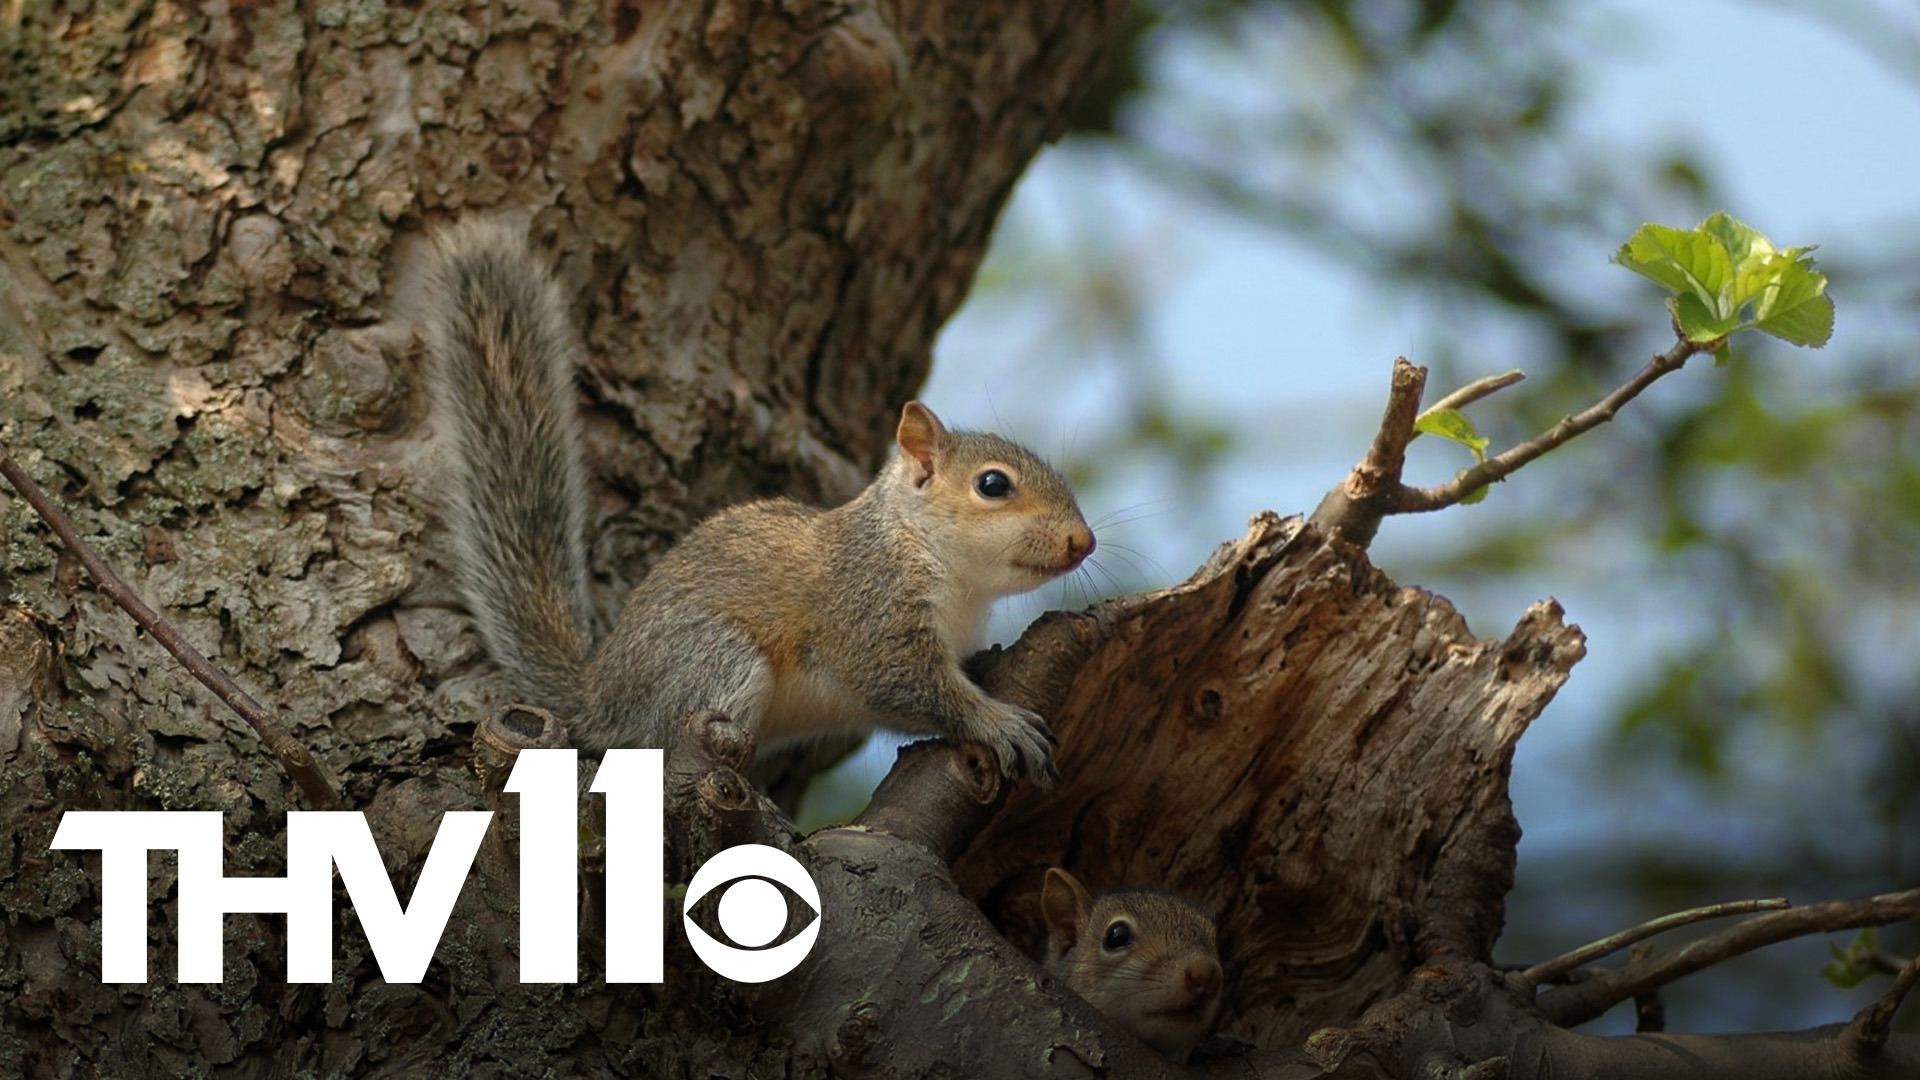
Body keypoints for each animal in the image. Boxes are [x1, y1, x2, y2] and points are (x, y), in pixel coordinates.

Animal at [422, 221, 1094, 783]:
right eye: (993, 485)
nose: (1083, 542)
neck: (946, 570)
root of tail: (596, 694)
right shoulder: (869, 611)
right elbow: (905, 686)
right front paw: (996, 723)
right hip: (714, 660)